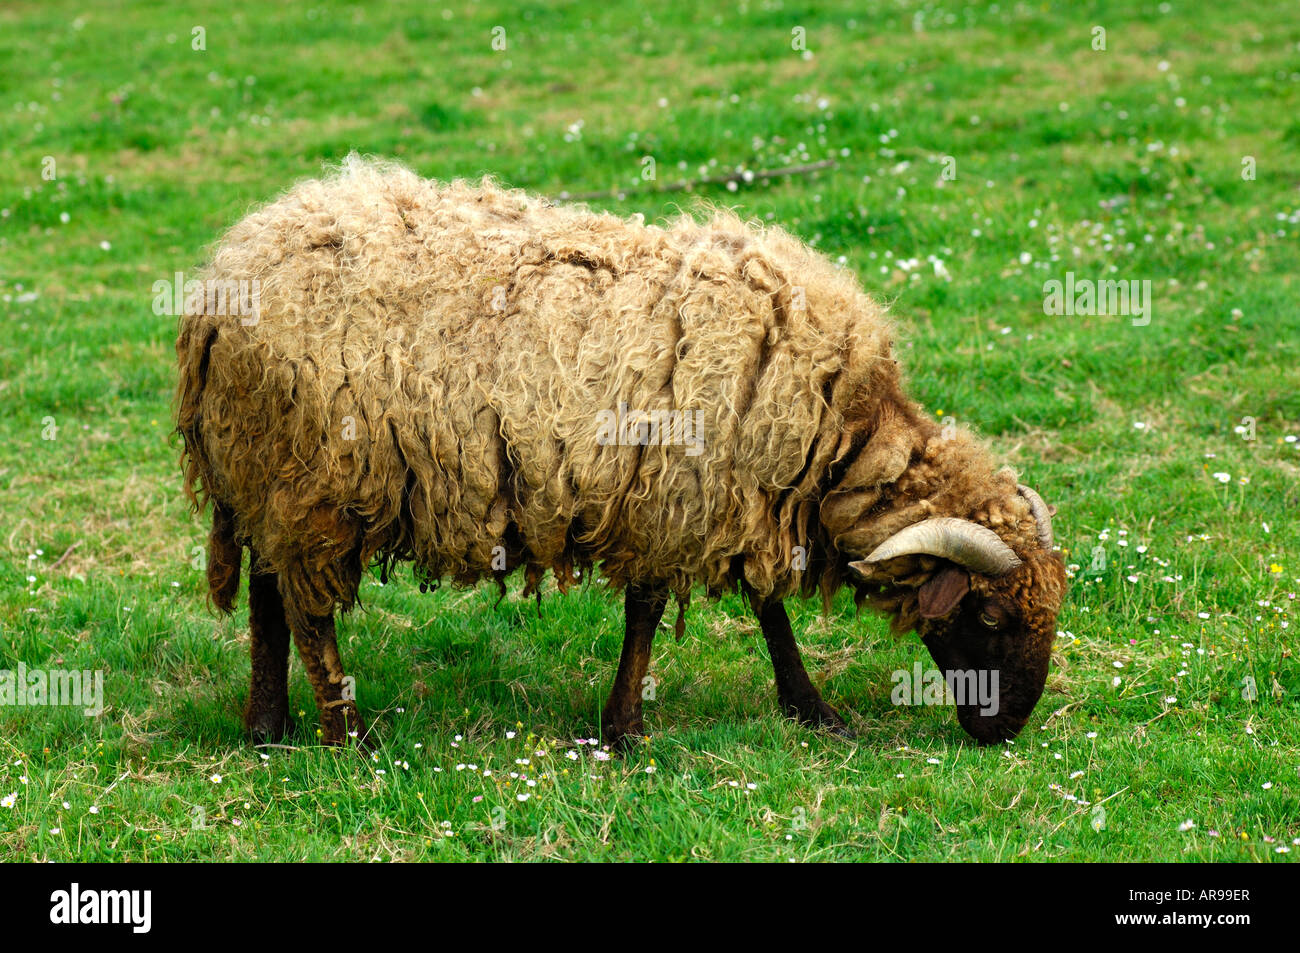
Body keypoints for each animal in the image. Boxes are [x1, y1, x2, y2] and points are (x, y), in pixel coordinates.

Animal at [174, 156, 1066, 748]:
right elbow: (651, 612)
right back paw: (348, 733)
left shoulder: (737, 494)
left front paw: (811, 709)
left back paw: (267, 726)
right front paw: (628, 728)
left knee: (268, 595)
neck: (840, 440)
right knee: (310, 610)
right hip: (312, 480)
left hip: (266, 477)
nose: (1006, 730)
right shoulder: (674, 498)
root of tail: (219, 284)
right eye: (988, 614)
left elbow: (767, 610)